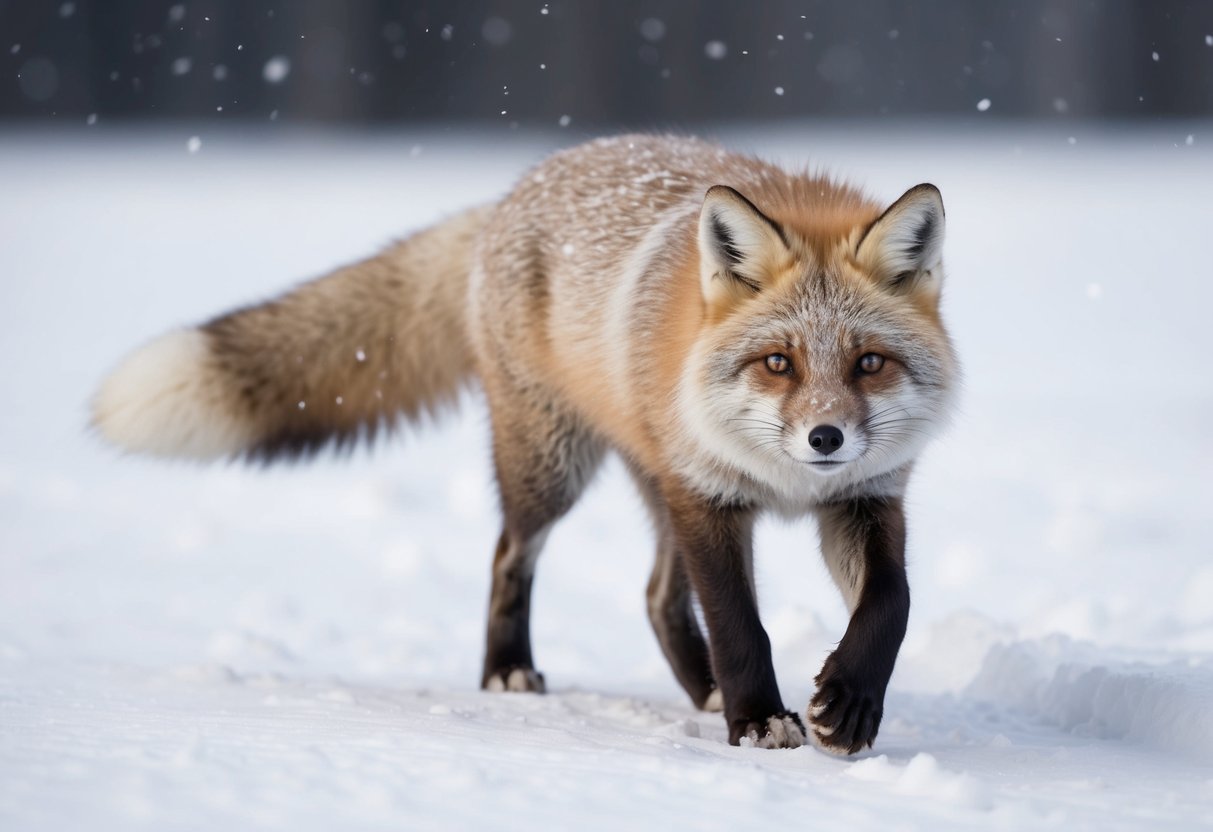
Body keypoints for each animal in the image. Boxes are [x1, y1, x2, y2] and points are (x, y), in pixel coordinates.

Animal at [92, 134, 957, 754]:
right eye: (778, 362)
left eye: (868, 363)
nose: (824, 436)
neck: (788, 483)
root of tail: (515, 187)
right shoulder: (708, 496)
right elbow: (741, 625)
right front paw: (756, 722)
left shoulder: (864, 497)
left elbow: (891, 604)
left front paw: (848, 704)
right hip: (554, 471)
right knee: (511, 555)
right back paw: (508, 671)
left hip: (647, 485)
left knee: (654, 597)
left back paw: (700, 689)